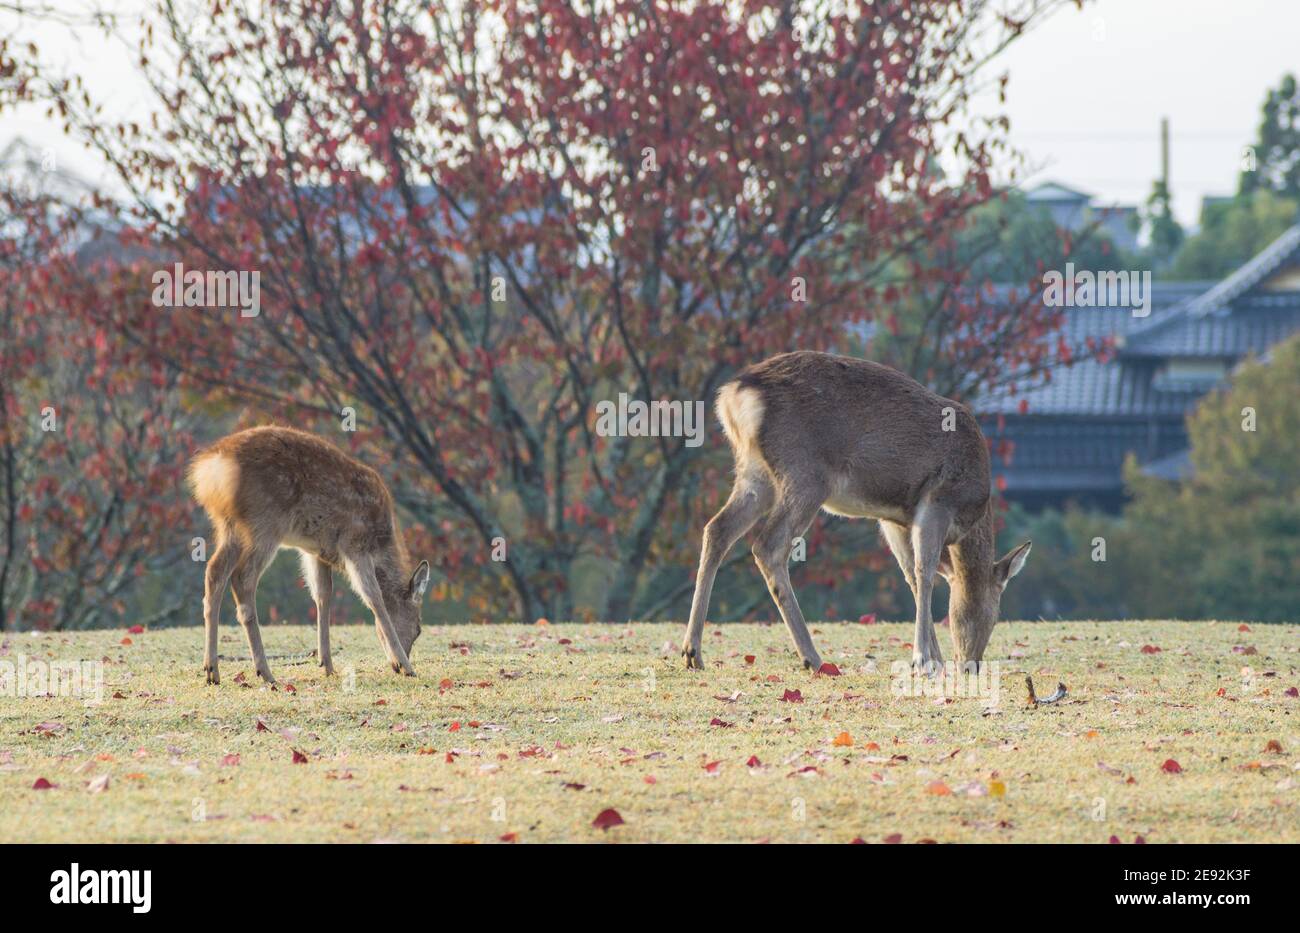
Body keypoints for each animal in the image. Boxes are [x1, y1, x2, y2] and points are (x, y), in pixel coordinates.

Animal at [187, 426, 431, 684]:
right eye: (418, 628)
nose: (398, 665)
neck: (382, 541)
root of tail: (210, 468)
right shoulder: (355, 543)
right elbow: (373, 597)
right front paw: (406, 665)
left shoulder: (317, 551)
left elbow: (322, 595)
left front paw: (327, 665)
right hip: (264, 522)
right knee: (243, 578)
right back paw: (265, 672)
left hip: (228, 526)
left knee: (214, 571)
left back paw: (212, 670)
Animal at [681, 351, 1031, 675]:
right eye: (995, 615)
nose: (972, 665)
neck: (970, 516)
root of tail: (734, 393)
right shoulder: (937, 502)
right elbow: (925, 572)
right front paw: (923, 660)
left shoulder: (895, 519)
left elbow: (910, 577)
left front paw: (935, 659)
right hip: (806, 473)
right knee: (768, 546)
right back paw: (813, 658)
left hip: (755, 473)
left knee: (717, 529)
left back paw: (692, 651)